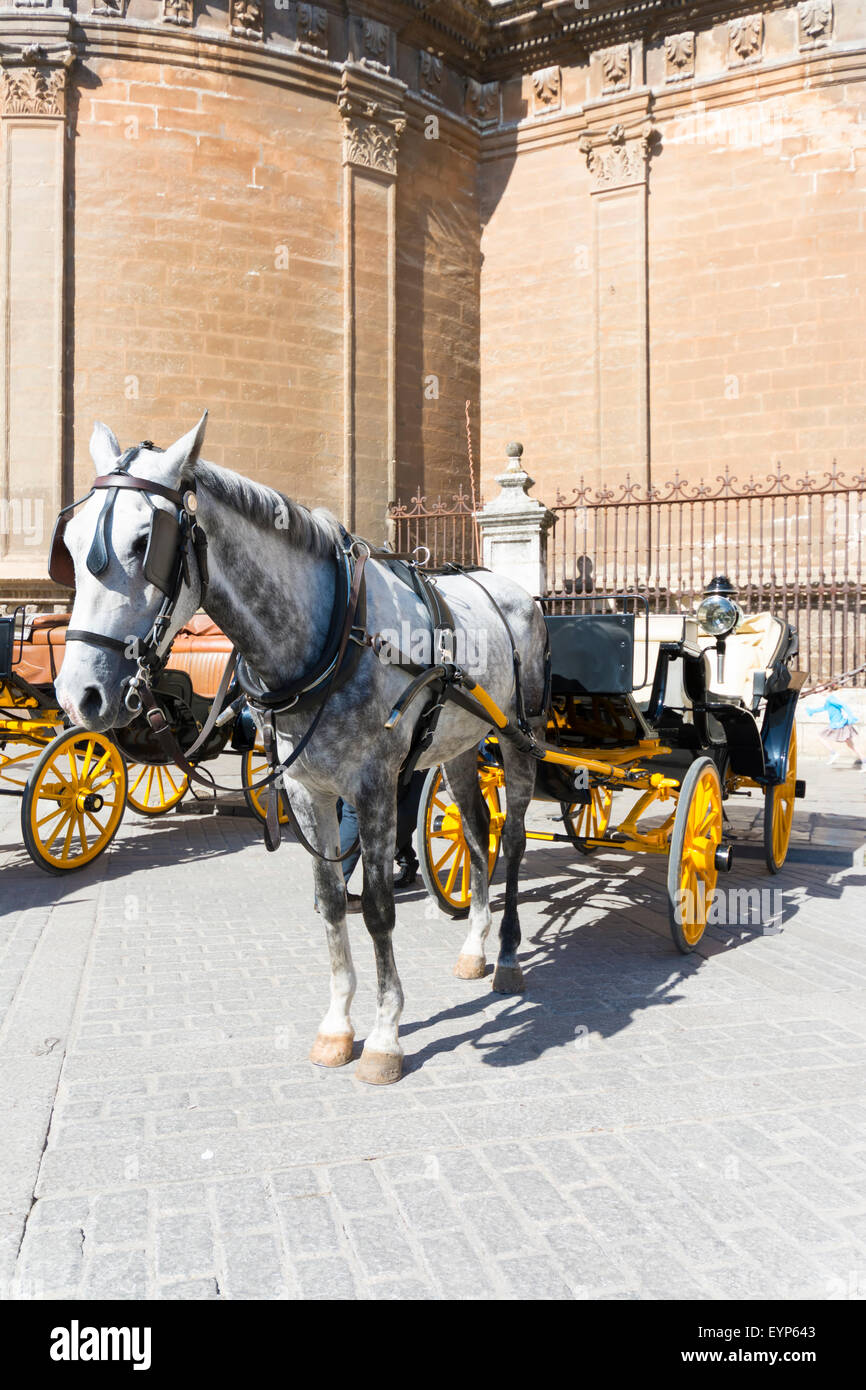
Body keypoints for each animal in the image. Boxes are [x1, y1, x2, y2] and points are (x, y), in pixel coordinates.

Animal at [55, 414, 549, 1084]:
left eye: (145, 543)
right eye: (72, 544)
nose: (78, 693)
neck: (334, 631)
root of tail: (510, 588)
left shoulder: (373, 787)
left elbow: (377, 910)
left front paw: (385, 1037)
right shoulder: (306, 789)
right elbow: (332, 902)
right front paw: (338, 1026)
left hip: (519, 737)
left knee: (513, 840)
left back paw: (508, 957)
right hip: (459, 747)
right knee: (475, 833)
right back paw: (475, 946)